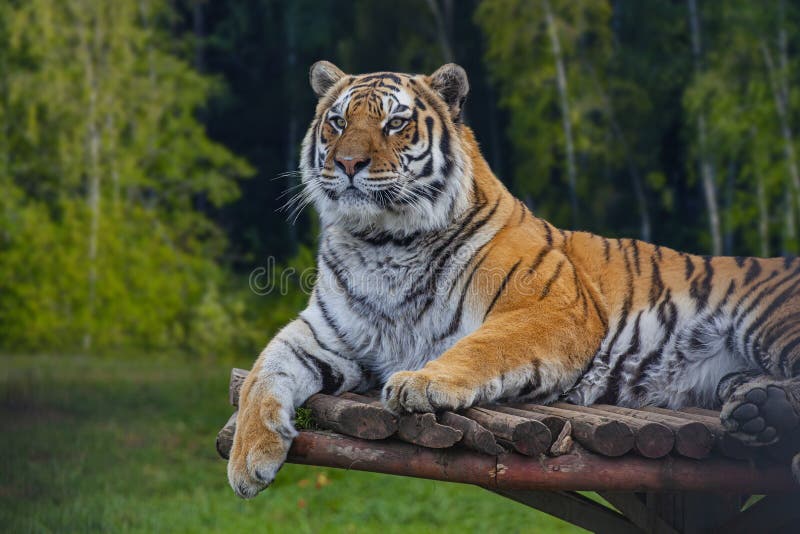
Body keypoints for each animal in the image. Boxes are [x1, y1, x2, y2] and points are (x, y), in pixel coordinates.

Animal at [227, 61, 800, 498]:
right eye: (338, 121)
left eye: (394, 124)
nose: (347, 163)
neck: (382, 245)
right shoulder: (326, 332)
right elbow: (263, 371)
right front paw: (247, 460)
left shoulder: (553, 307)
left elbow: (485, 345)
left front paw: (421, 382)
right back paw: (760, 415)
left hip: (770, 322)